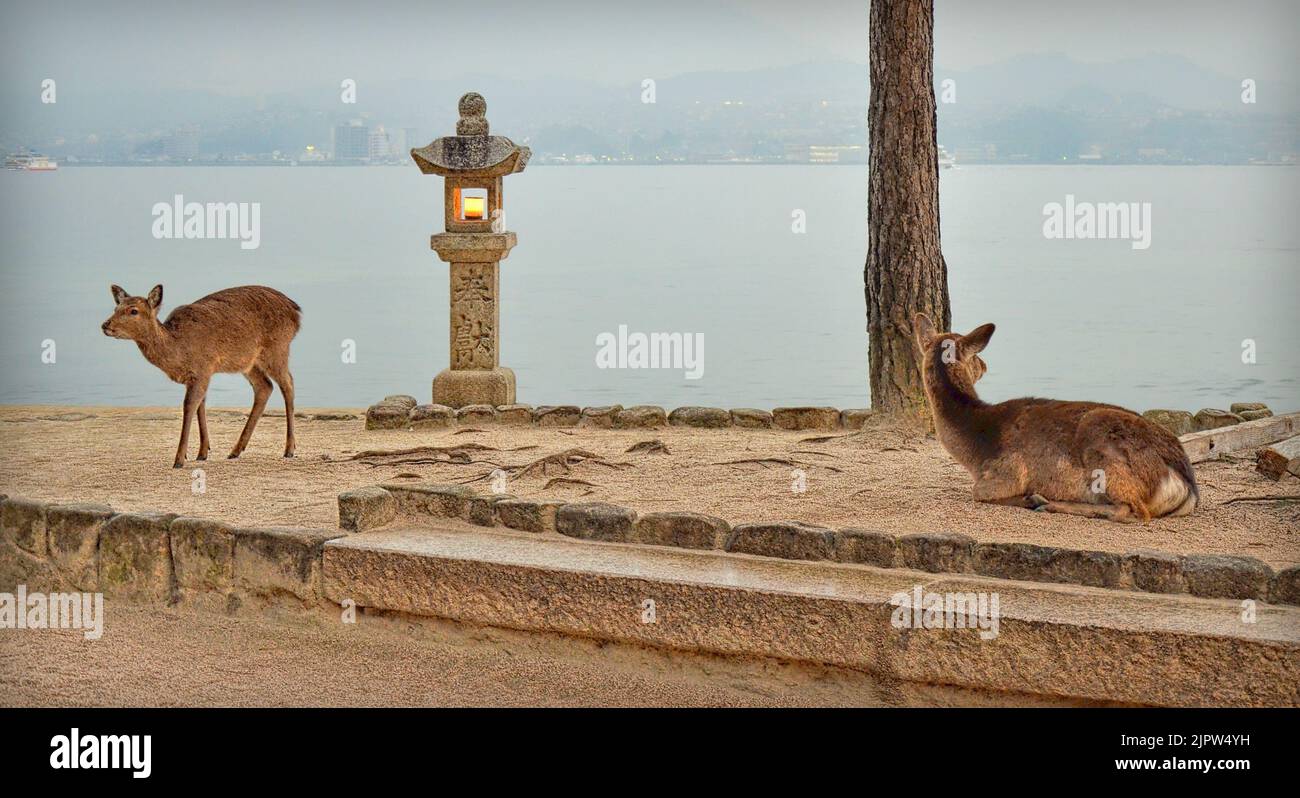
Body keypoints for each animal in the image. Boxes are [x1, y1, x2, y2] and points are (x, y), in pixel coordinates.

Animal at [101, 284, 302, 468]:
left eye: (133, 310)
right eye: (116, 308)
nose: (105, 325)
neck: (178, 353)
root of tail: (297, 312)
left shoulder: (203, 369)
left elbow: (189, 406)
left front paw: (179, 459)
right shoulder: (199, 375)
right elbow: (201, 405)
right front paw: (202, 452)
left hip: (276, 349)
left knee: (288, 383)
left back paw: (289, 449)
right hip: (248, 362)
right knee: (265, 386)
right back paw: (235, 450)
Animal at [912, 313, 1198, 522]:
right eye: (976, 357)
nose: (984, 365)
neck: (975, 450)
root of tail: (1188, 486)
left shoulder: (1007, 471)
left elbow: (977, 492)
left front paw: (1030, 498)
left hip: (1105, 454)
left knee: (1134, 510)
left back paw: (1048, 503)